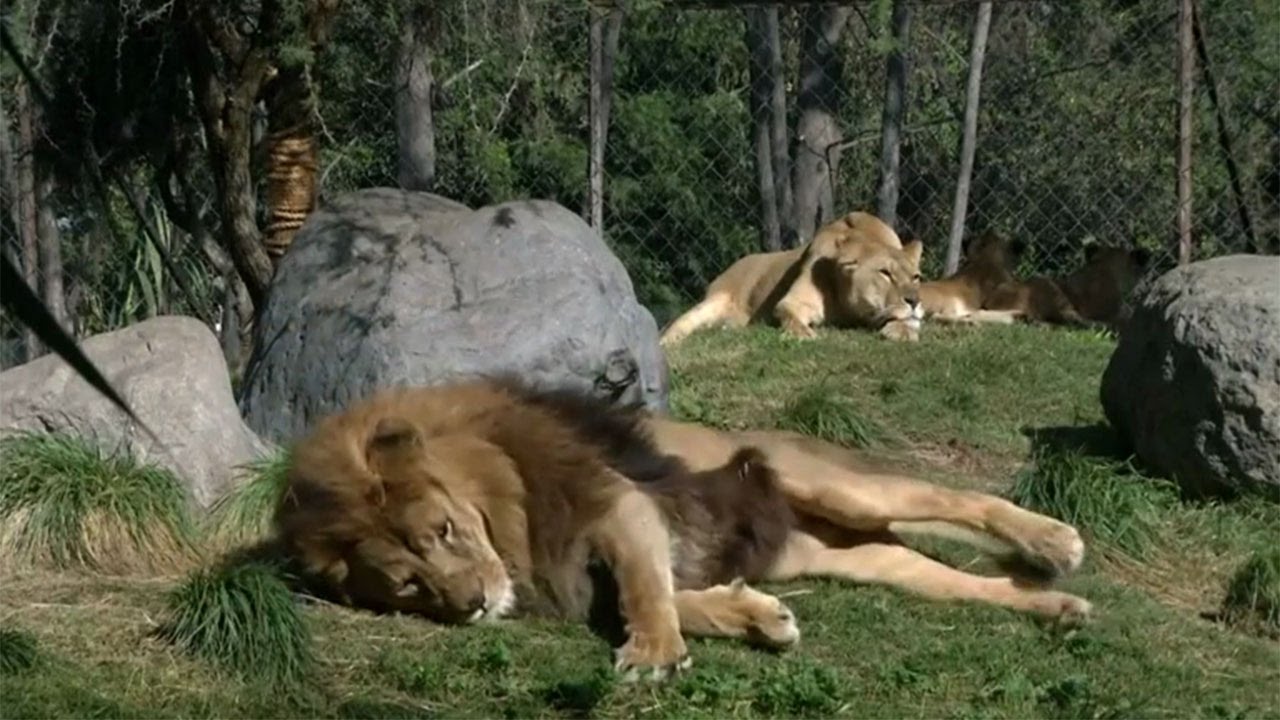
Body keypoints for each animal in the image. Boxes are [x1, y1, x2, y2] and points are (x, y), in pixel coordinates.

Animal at [277, 377, 1090, 682]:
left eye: (444, 530)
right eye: (408, 587)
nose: (475, 604)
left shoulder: (619, 504)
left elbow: (644, 588)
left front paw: (654, 654)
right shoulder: (583, 572)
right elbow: (672, 594)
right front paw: (758, 617)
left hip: (831, 486)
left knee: (959, 497)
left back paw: (1055, 541)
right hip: (854, 554)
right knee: (966, 584)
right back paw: (1056, 607)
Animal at [659, 211, 925, 346]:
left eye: (916, 277)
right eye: (885, 273)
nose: (914, 301)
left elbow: (908, 321)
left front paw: (903, 330)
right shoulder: (793, 301)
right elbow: (789, 314)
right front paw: (803, 334)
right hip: (711, 301)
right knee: (676, 327)